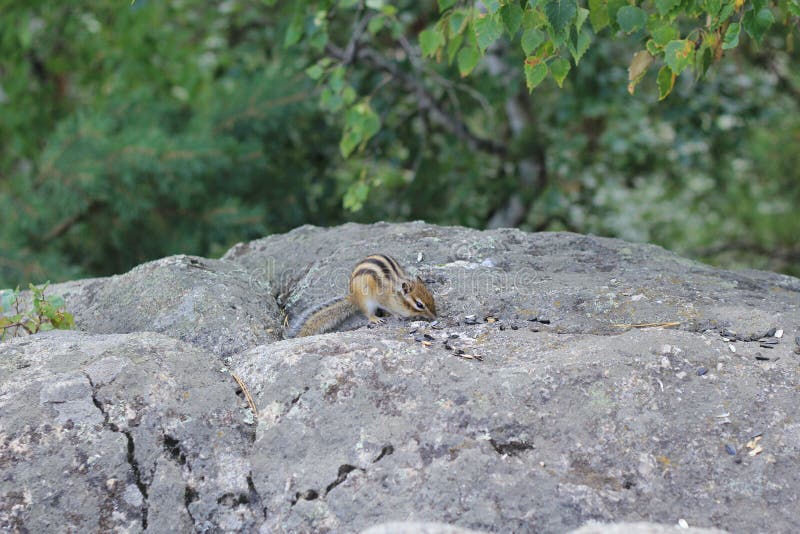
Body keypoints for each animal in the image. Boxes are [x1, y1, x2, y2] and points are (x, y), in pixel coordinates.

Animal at [289, 254, 437, 338]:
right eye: (419, 304)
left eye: (431, 296)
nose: (435, 316)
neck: (396, 294)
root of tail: (353, 297)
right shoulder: (382, 299)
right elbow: (390, 309)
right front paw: (397, 315)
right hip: (366, 300)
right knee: (367, 312)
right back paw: (375, 318)